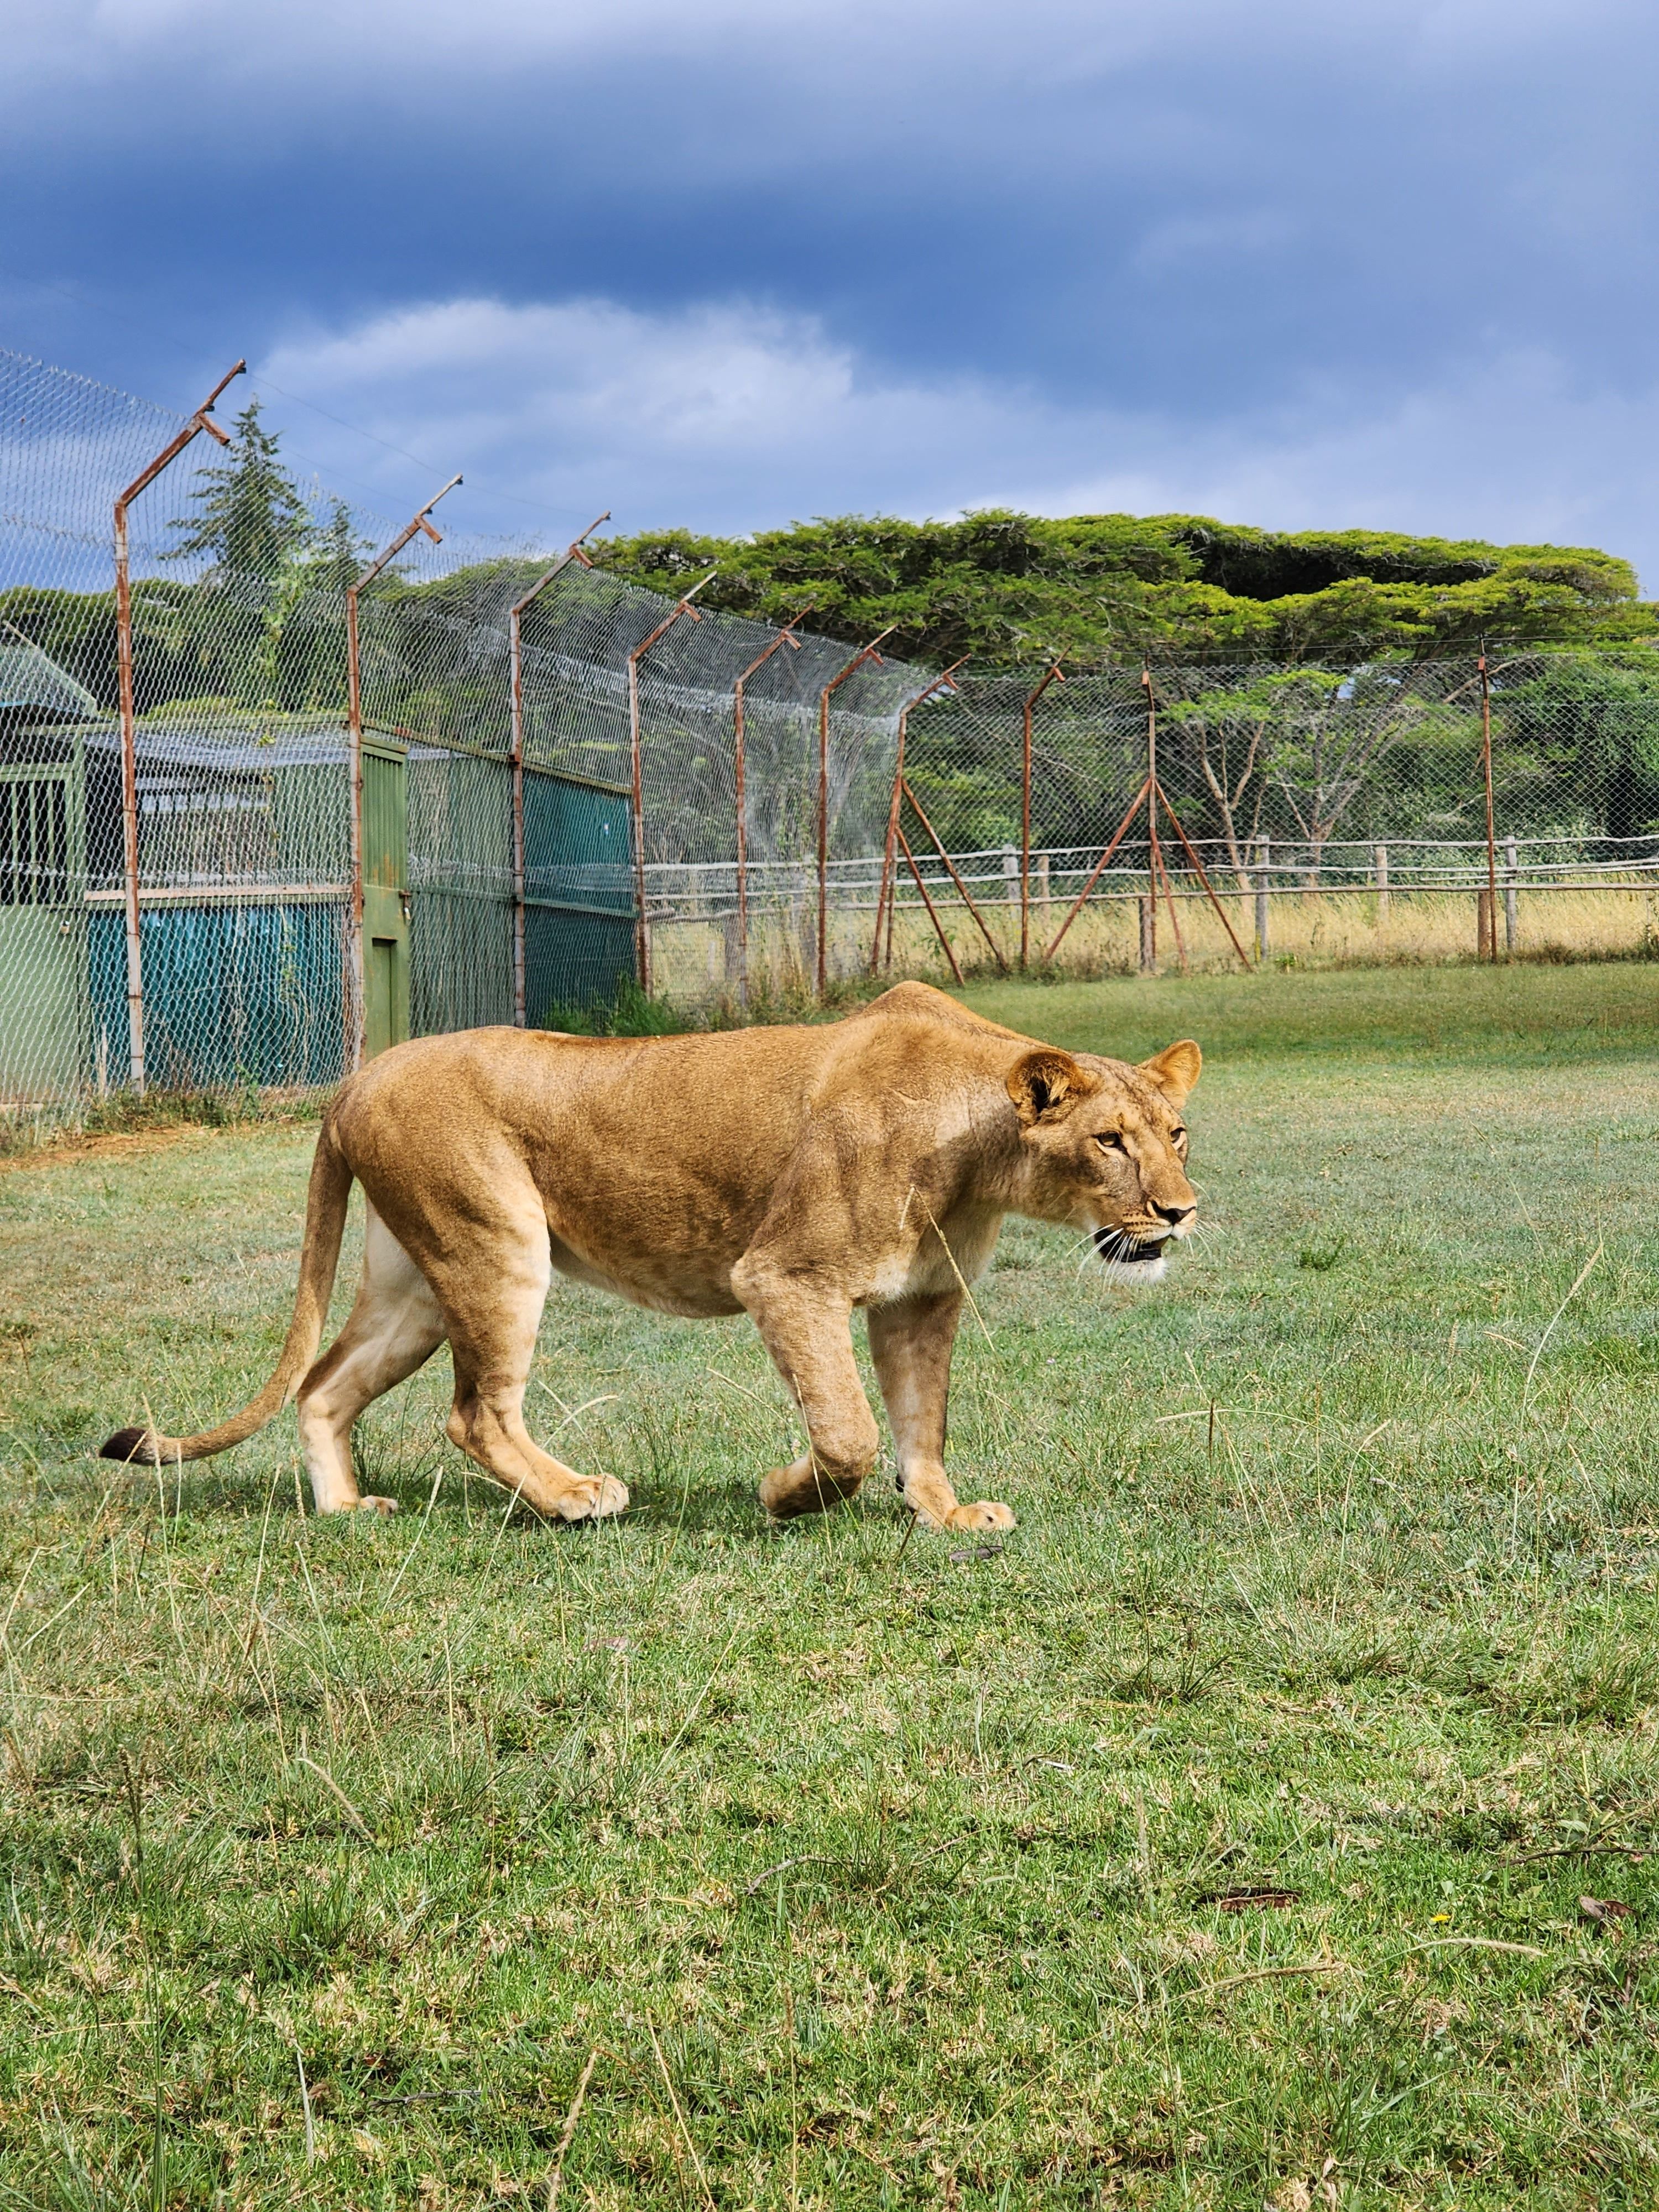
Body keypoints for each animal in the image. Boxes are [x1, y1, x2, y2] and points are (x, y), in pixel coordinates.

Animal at [101, 982, 1199, 1533]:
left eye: (1176, 1132)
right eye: (1109, 1141)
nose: (1181, 1213)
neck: (976, 1151)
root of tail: (355, 1081)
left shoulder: (921, 1300)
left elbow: (919, 1422)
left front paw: (945, 1513)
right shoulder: (784, 1277)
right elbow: (848, 1431)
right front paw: (784, 1496)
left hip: (417, 1277)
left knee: (326, 1385)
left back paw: (343, 1509)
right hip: (497, 1245)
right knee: (474, 1412)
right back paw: (574, 1498)